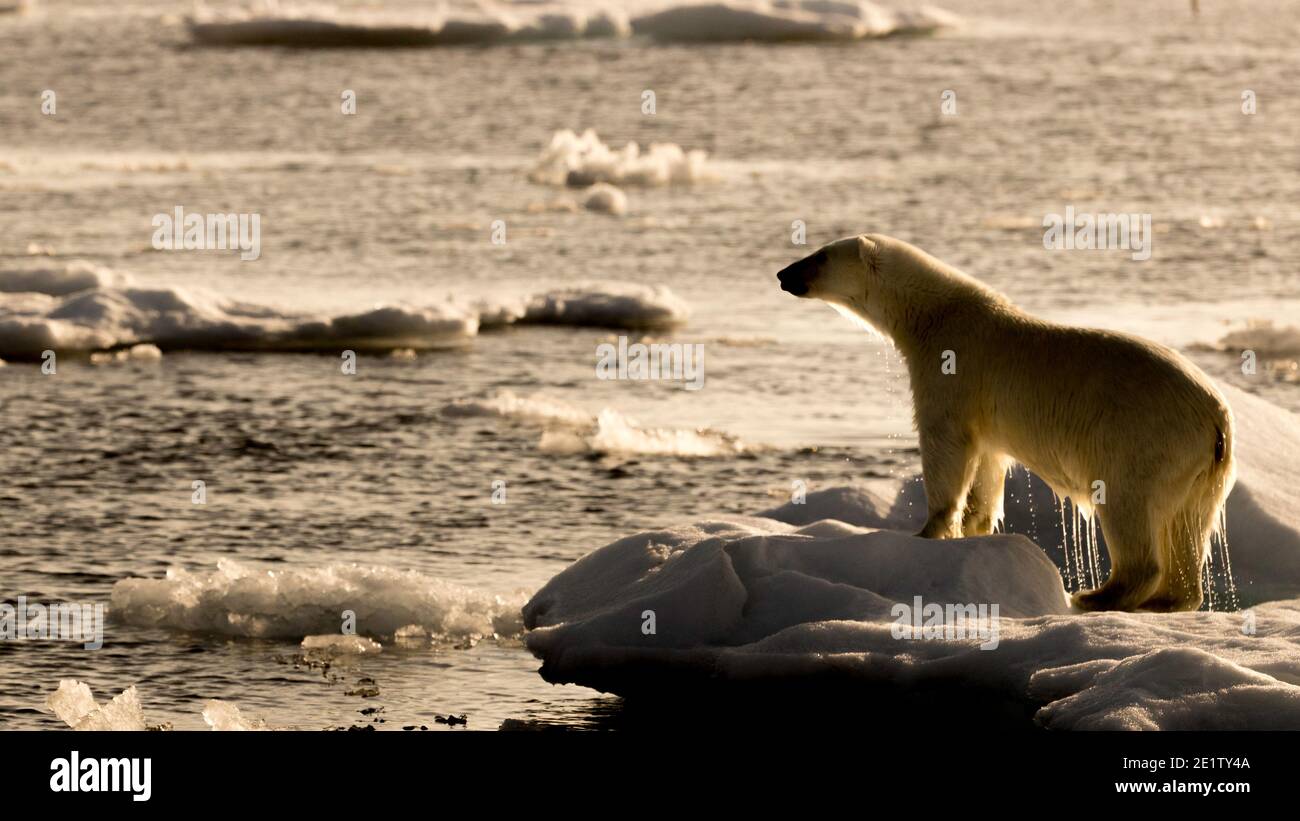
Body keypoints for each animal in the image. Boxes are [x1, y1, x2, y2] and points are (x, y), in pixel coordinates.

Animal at [777, 233, 1236, 612]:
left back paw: (1095, 595)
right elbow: (987, 465)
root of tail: (1216, 418)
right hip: (1200, 467)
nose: (782, 273)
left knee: (1128, 503)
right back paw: (1169, 599)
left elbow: (945, 445)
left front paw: (927, 533)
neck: (934, 313)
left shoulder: (953, 369)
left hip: (1146, 436)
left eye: (819, 256)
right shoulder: (986, 418)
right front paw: (975, 529)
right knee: (1190, 523)